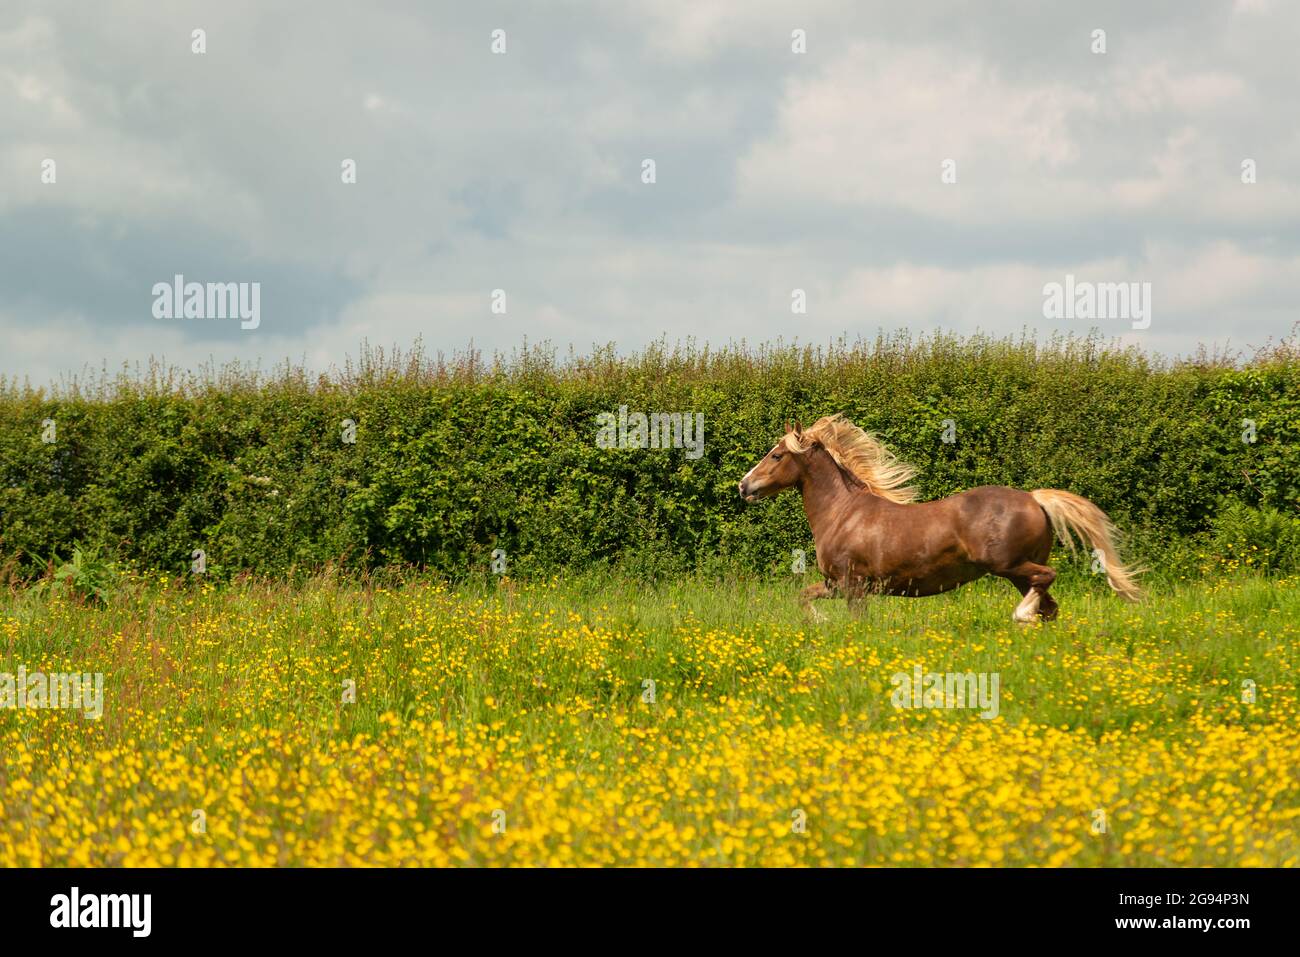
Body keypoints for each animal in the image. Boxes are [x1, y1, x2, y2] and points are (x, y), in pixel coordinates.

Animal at [737, 414, 1141, 622]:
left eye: (776, 455)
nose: (743, 486)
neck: (842, 513)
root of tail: (1033, 498)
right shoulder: (835, 585)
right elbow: (804, 597)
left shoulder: (853, 586)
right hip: (1017, 572)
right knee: (1050, 607)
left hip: (1007, 565)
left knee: (1046, 581)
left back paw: (1020, 616)